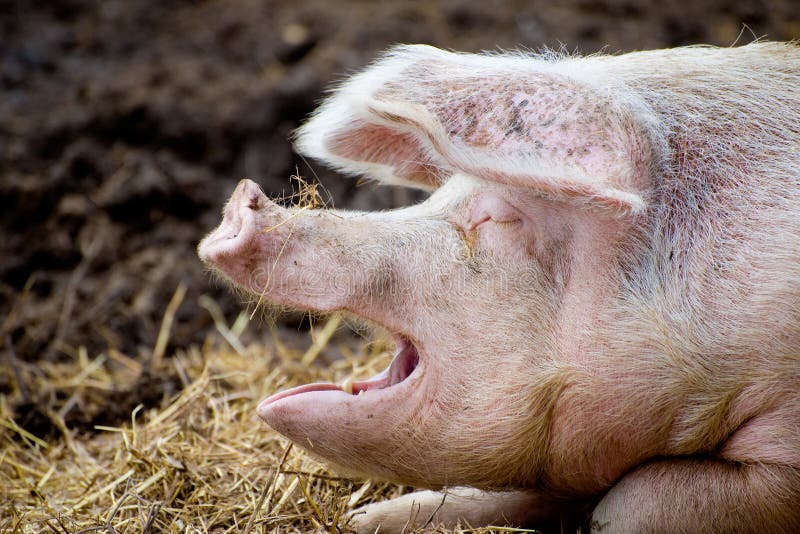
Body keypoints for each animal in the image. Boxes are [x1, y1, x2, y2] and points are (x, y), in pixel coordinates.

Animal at [198, 42, 800, 532]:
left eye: (492, 217)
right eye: (442, 194)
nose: (244, 201)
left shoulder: (783, 444)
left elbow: (627, 507)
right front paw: (365, 518)